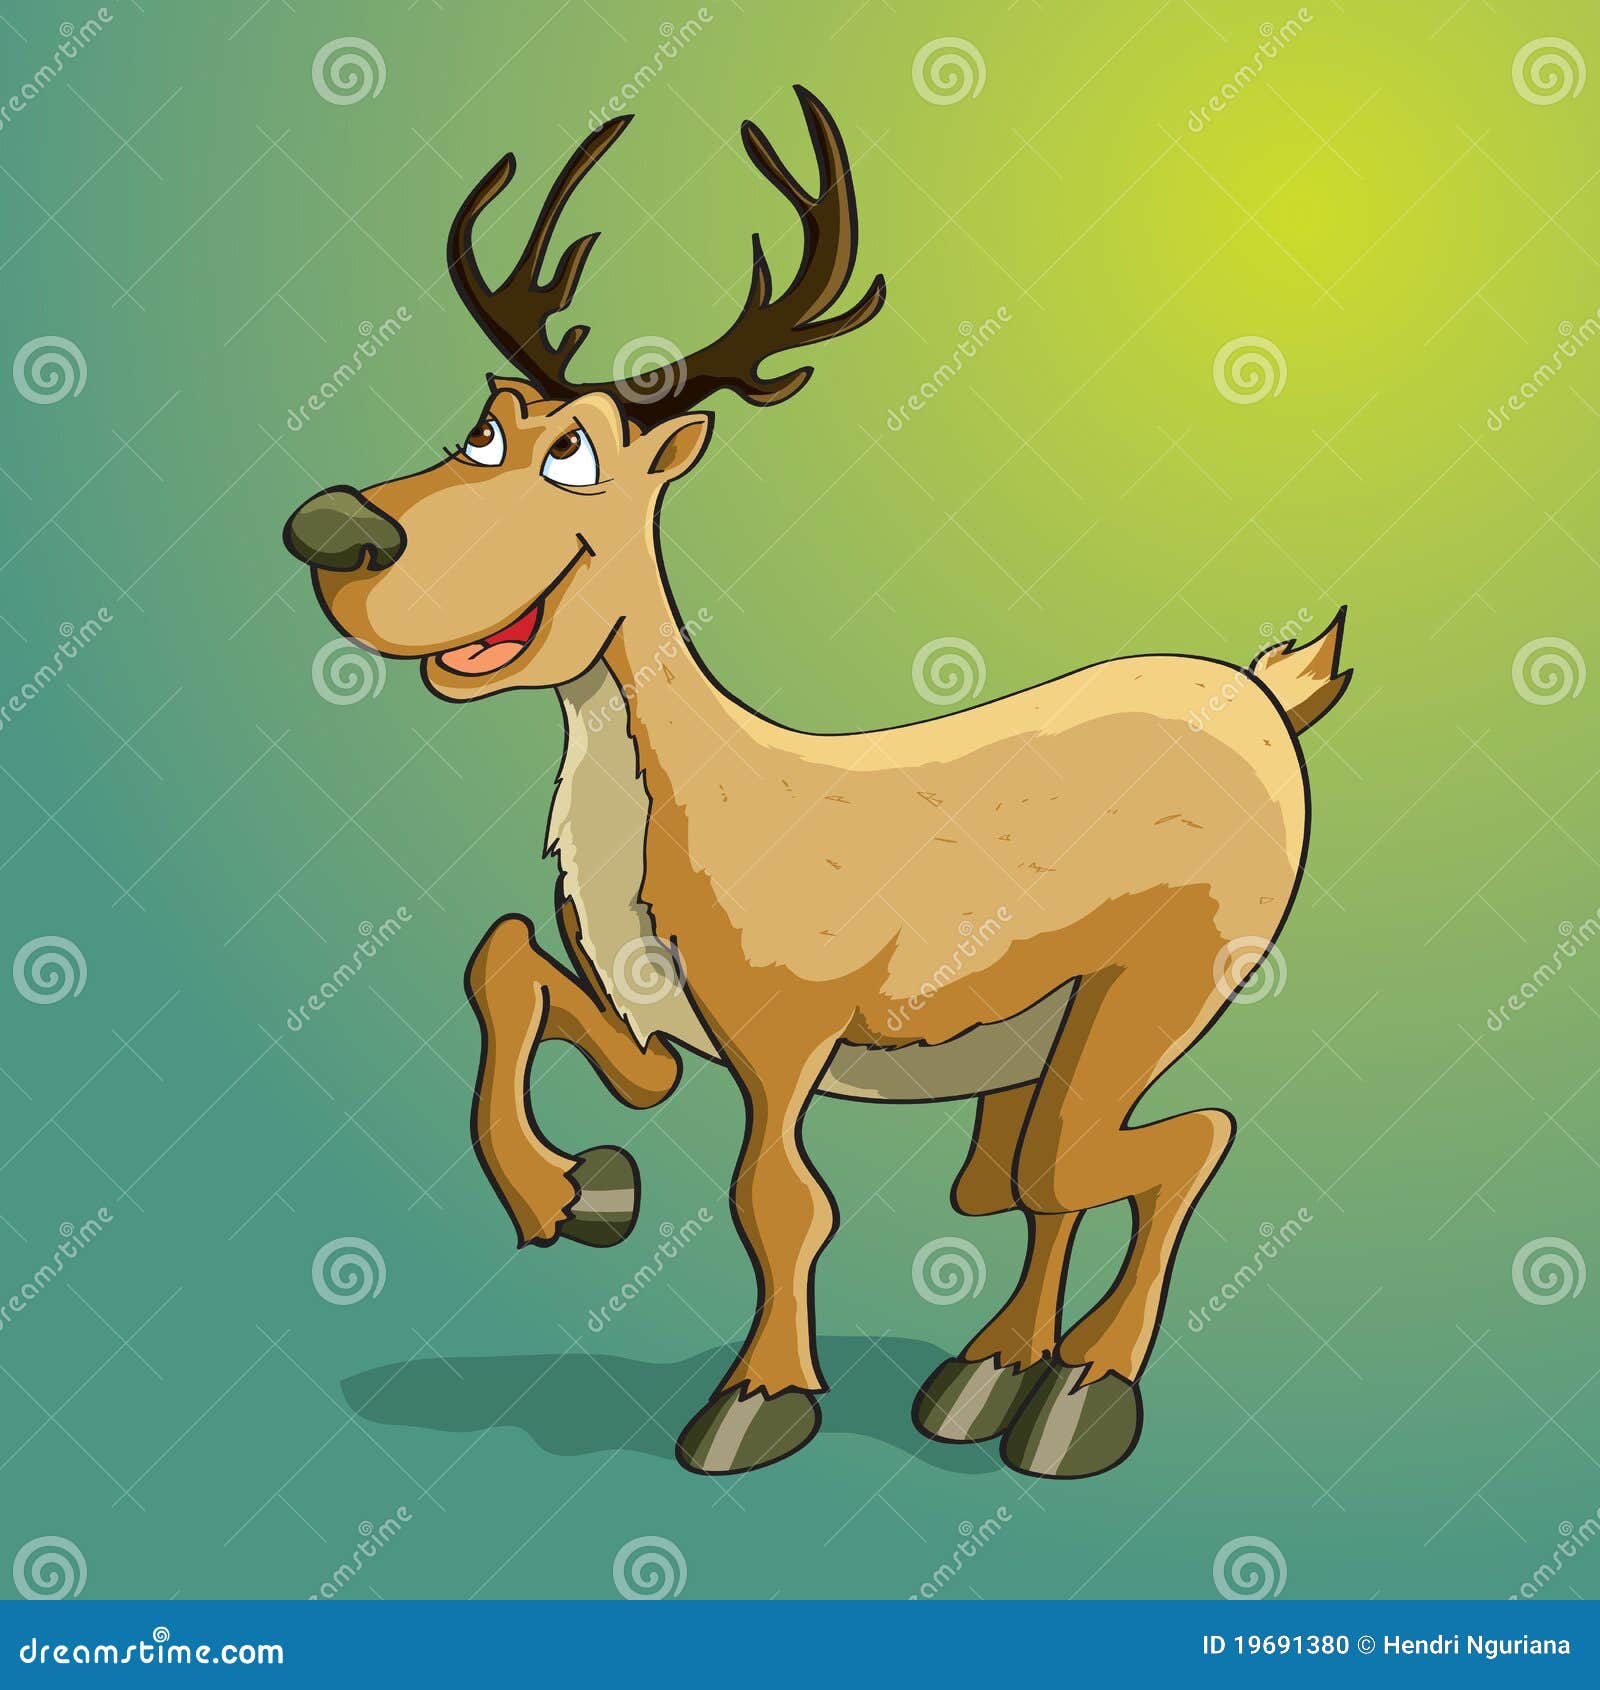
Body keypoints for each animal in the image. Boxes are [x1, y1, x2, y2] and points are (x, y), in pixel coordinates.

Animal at [283, 87, 1350, 1479]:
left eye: (573, 454)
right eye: (482, 424)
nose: (332, 530)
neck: (692, 808)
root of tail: (1268, 691)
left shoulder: (788, 1029)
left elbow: (778, 1200)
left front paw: (757, 1403)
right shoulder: (658, 1003)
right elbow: (518, 968)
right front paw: (582, 1188)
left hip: (1168, 979)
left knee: (1140, 1148)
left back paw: (1081, 1399)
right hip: (1033, 1033)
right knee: (1017, 1179)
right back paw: (985, 1376)